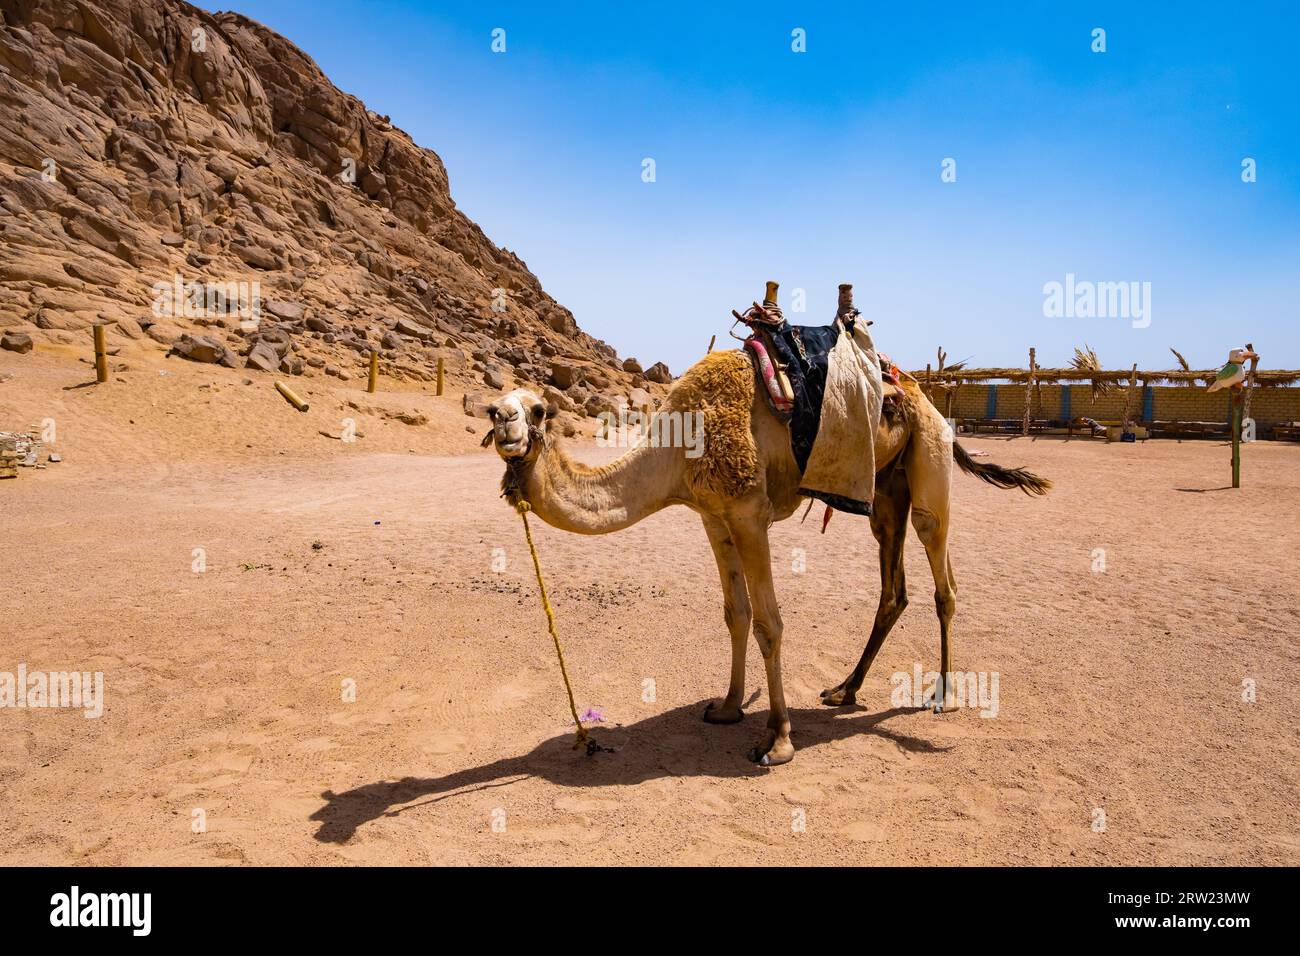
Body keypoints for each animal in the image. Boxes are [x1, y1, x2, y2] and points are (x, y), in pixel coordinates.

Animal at [485, 347, 1050, 766]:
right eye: (495, 408)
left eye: (539, 410)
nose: (507, 423)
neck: (676, 448)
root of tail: (921, 393)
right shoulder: (713, 517)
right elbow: (736, 614)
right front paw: (727, 707)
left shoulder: (748, 512)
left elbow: (769, 623)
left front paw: (776, 740)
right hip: (885, 489)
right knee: (895, 589)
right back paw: (843, 691)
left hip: (928, 461)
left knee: (942, 577)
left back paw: (942, 696)